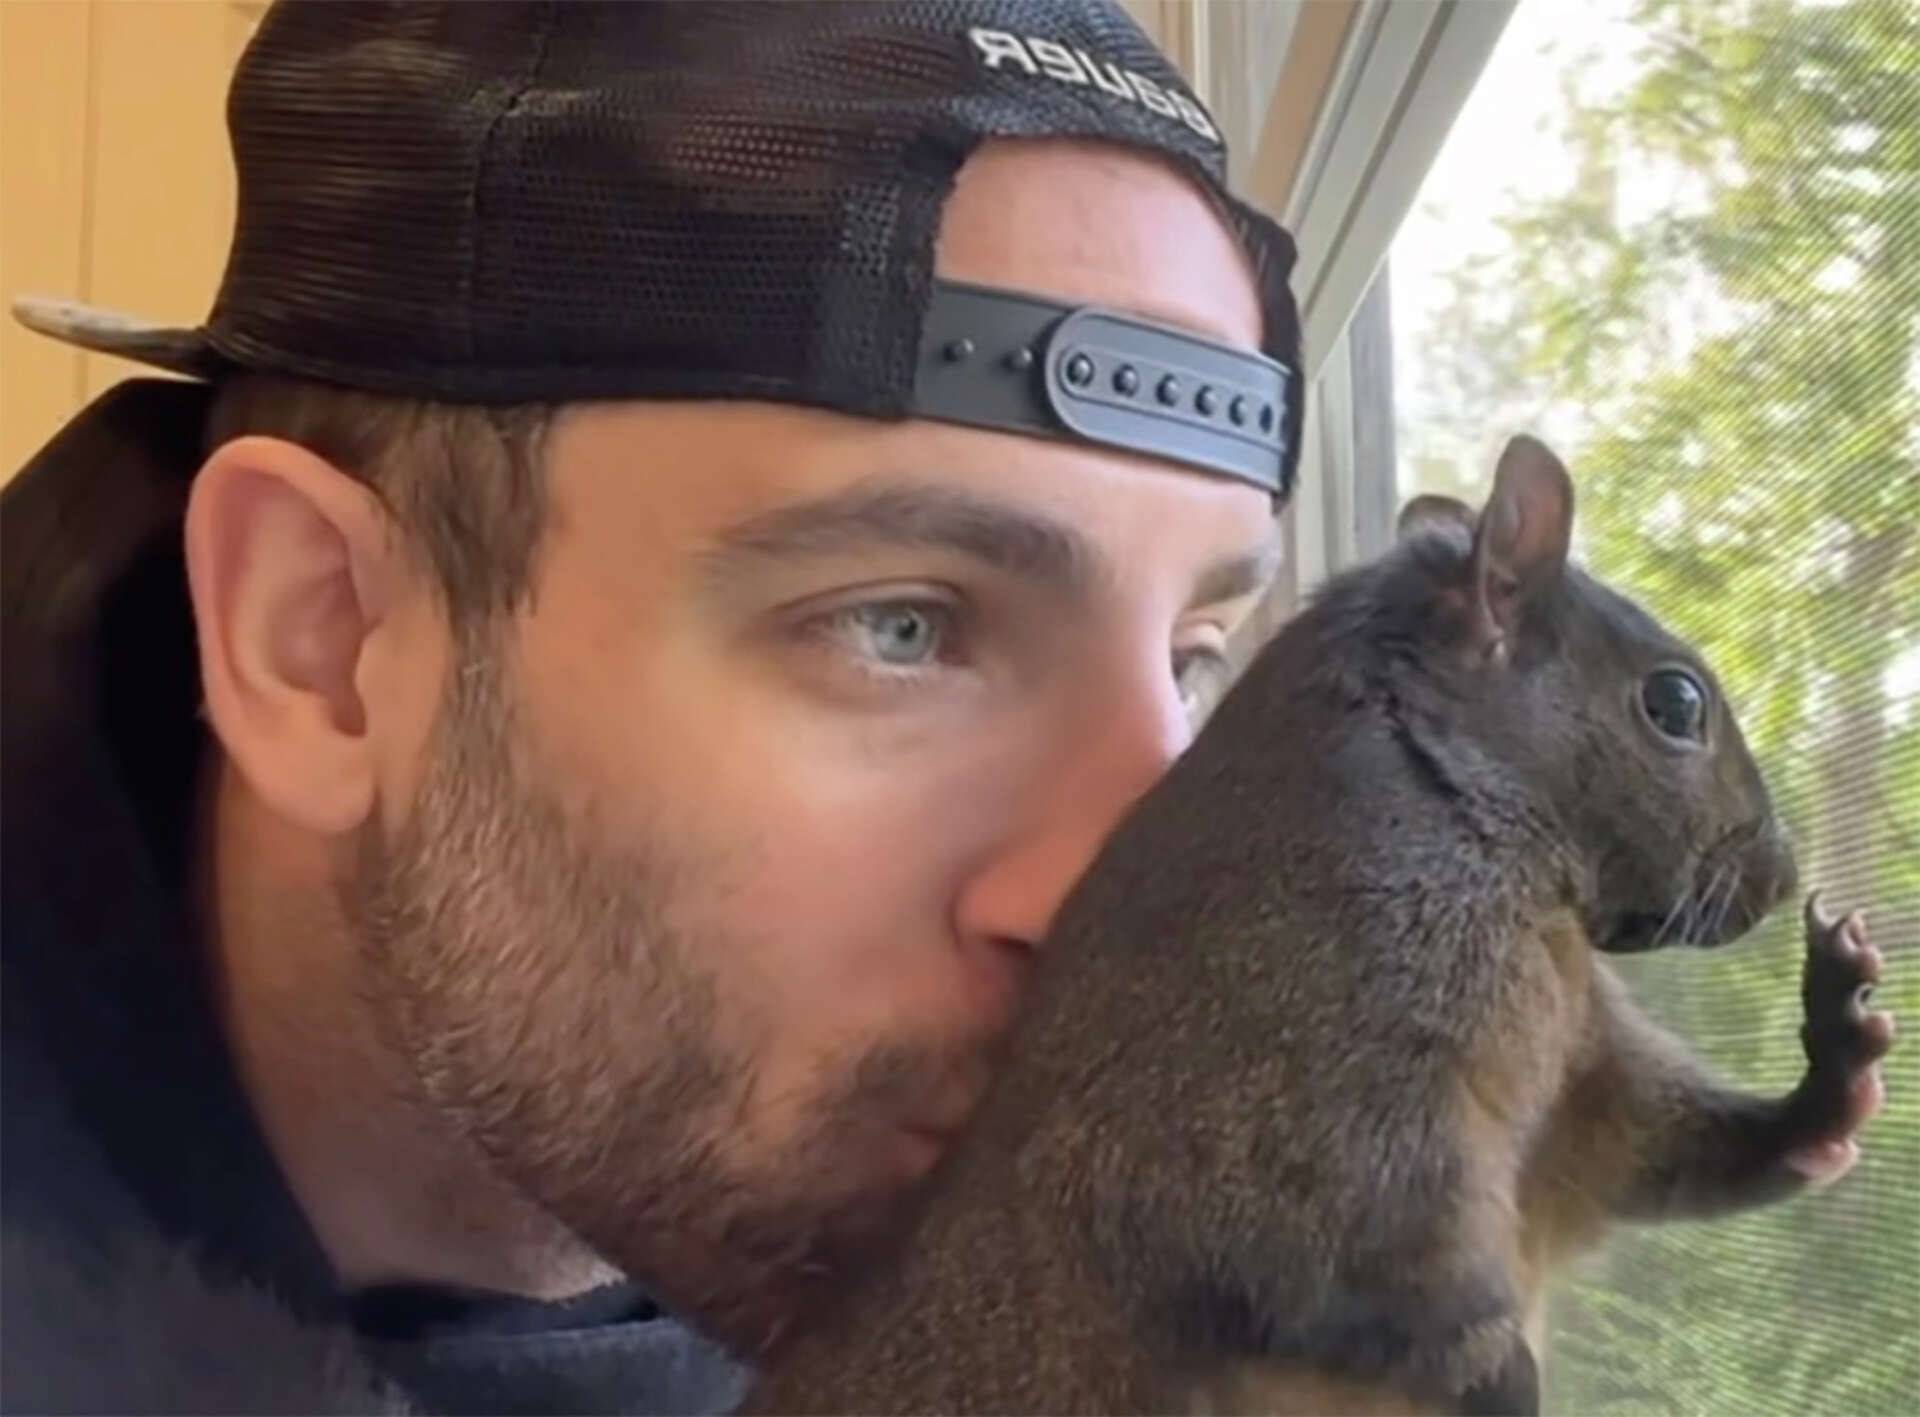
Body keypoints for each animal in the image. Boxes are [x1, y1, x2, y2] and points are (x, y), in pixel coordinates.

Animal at [743, 435, 1896, 1417]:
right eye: (1674, 703)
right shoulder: (1300, 1083)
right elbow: (1348, 1266)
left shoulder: (1579, 1075)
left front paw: (1835, 1056)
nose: (1782, 874)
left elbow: (1656, 1143)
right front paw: (1505, 1382)